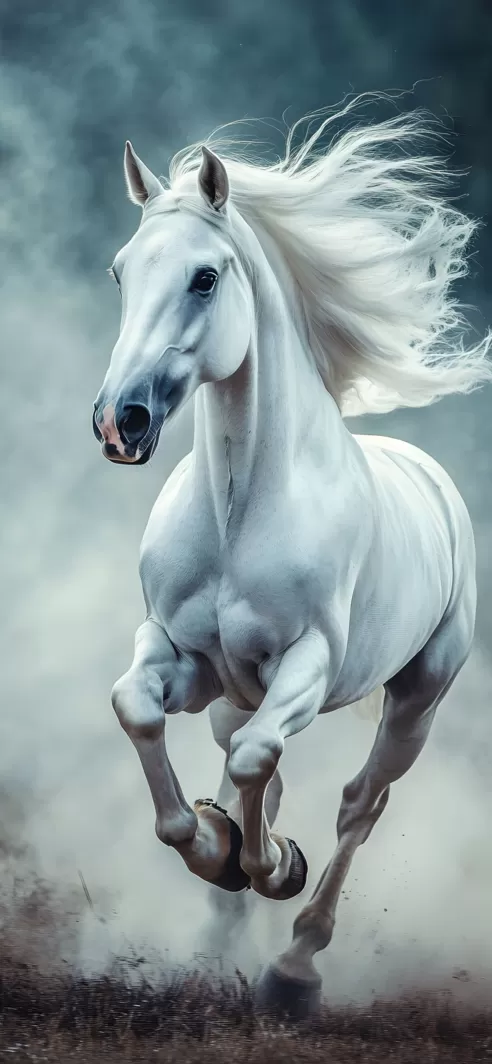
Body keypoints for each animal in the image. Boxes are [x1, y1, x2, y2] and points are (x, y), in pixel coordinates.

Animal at [92, 100, 492, 1017]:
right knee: (264, 773)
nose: (120, 422)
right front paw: (212, 844)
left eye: (206, 278)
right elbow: (140, 712)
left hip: (417, 699)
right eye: (123, 273)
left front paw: (271, 864)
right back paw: (223, 929)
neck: (240, 514)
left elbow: (258, 763)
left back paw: (294, 966)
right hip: (235, 697)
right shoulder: (181, 655)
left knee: (359, 805)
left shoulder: (307, 665)